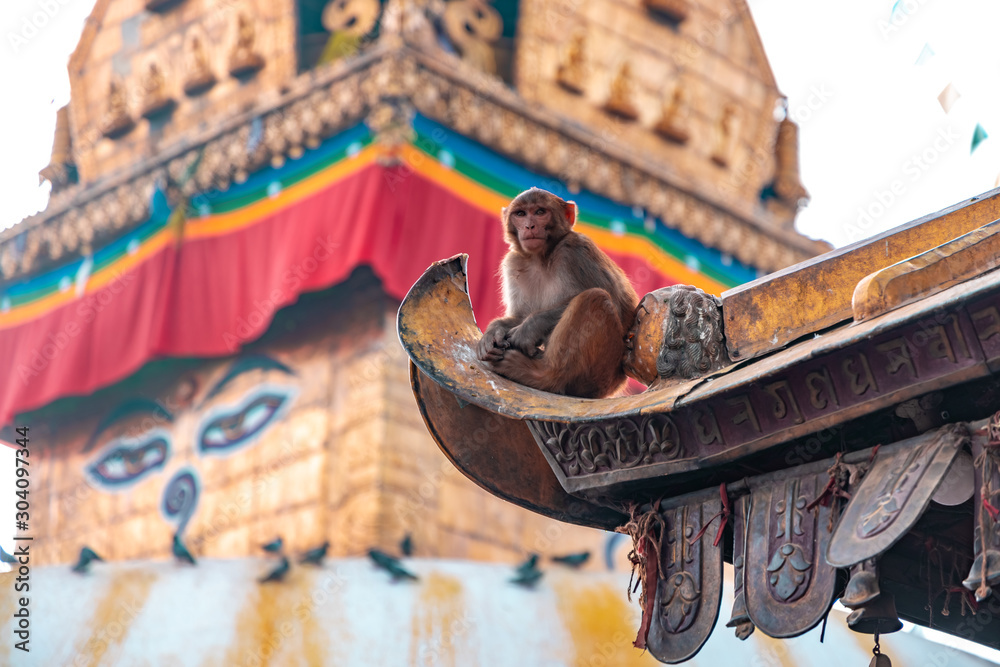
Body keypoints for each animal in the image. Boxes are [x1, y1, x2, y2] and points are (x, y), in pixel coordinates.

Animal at [476, 187, 639, 398]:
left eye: (540, 212)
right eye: (520, 214)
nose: (529, 226)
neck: (542, 257)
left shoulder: (575, 250)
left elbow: (617, 305)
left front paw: (529, 329)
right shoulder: (514, 262)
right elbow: (519, 315)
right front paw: (493, 333)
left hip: (604, 373)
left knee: (595, 298)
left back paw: (544, 375)